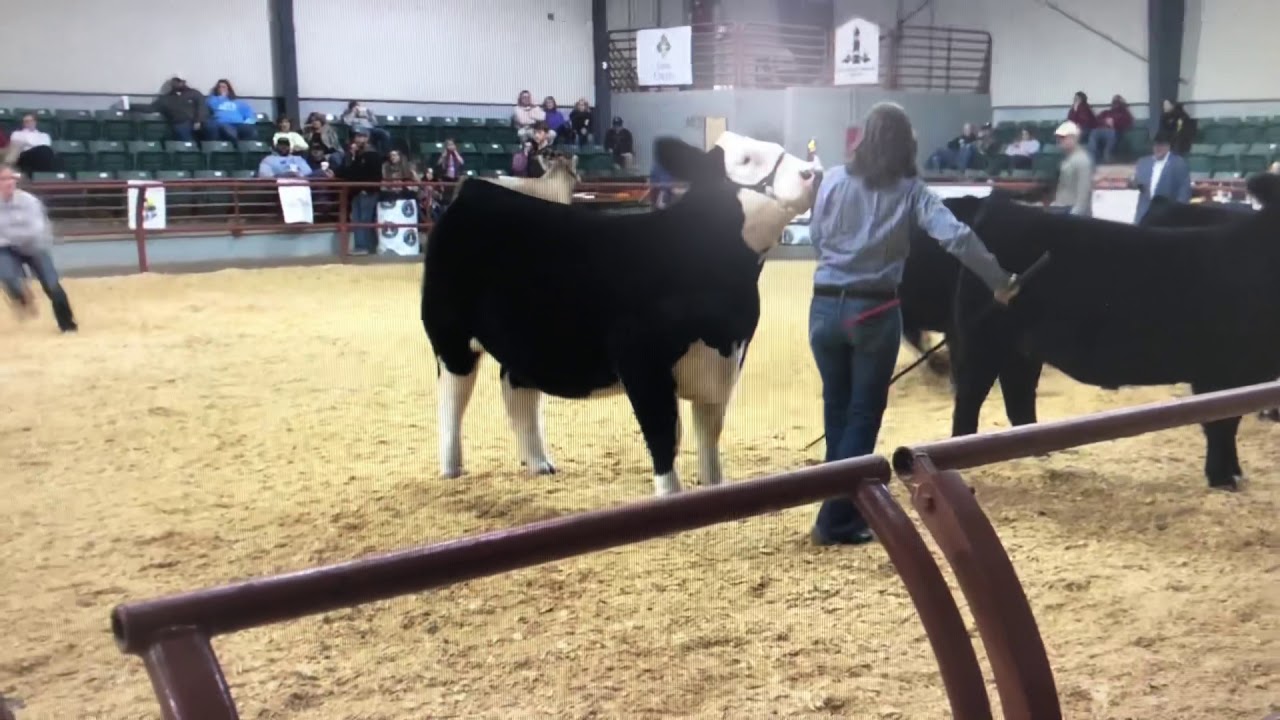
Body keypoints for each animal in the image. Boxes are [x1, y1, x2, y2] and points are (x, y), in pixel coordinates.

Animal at [421, 132, 820, 496]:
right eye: (747, 159)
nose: (812, 171)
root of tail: (474, 190)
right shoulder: (641, 363)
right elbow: (664, 433)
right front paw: (671, 497)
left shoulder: (726, 361)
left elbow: (709, 434)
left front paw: (714, 488)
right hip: (449, 333)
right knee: (452, 398)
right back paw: (451, 468)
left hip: (525, 340)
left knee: (515, 387)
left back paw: (538, 463)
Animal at [944, 172, 1280, 490]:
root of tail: (1002, 208)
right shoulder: (1220, 372)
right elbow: (1221, 423)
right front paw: (1223, 478)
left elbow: (1230, 420)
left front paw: (1232, 473)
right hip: (983, 341)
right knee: (971, 396)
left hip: (1021, 350)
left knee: (1018, 394)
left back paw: (1035, 453)